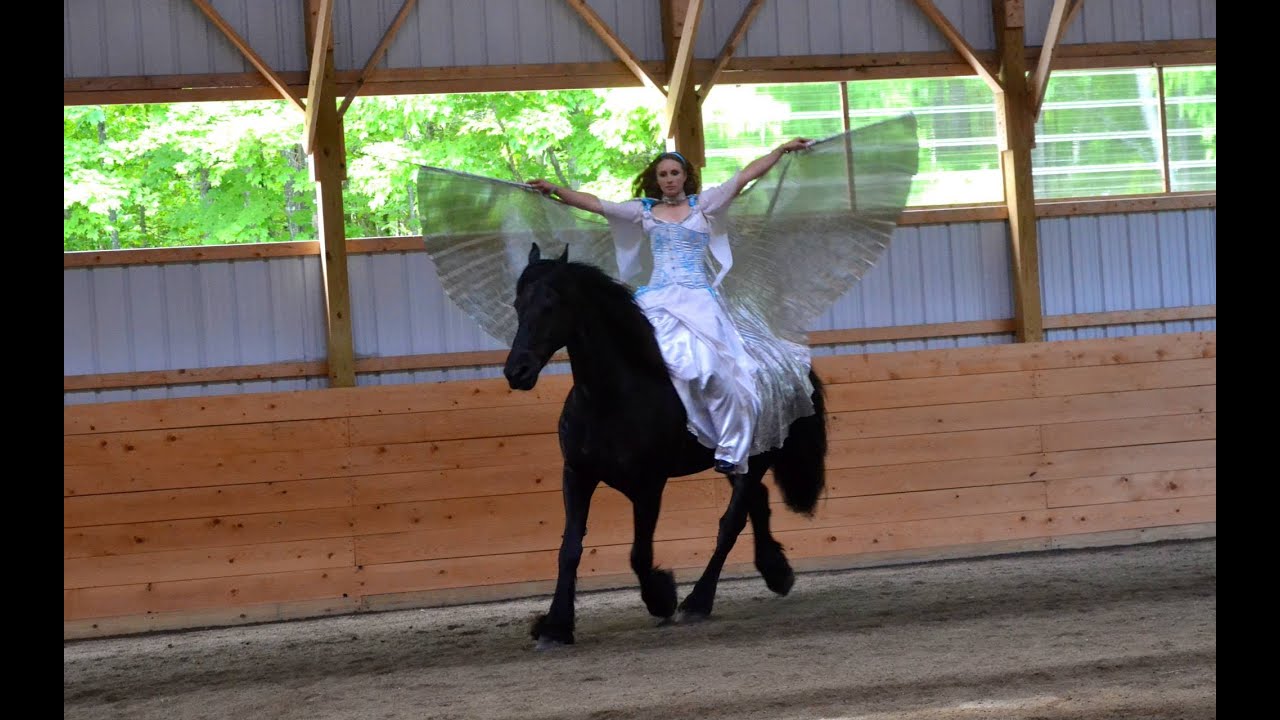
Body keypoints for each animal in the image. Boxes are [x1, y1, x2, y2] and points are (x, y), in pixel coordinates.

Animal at [503, 243, 828, 650]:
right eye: (518, 304)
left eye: (551, 303)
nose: (516, 372)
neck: (610, 399)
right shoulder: (577, 475)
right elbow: (570, 549)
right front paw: (555, 626)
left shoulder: (648, 487)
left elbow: (639, 554)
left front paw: (662, 598)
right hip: (735, 460)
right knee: (758, 501)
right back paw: (776, 573)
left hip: (755, 458)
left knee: (731, 522)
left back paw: (698, 602)